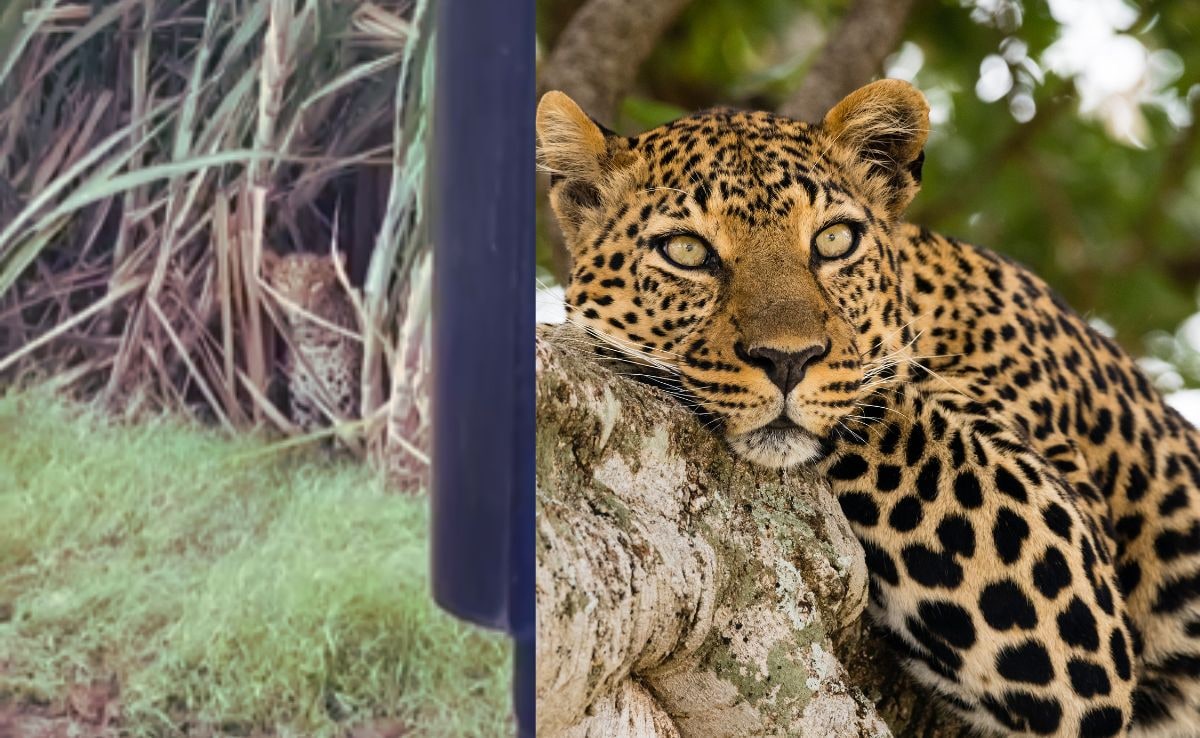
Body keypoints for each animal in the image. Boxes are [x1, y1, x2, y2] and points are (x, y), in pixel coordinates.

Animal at [261, 250, 360, 433]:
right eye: (285, 282)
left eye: (316, 284)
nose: (299, 308)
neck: (311, 342)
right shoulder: (302, 401)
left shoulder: (344, 403)